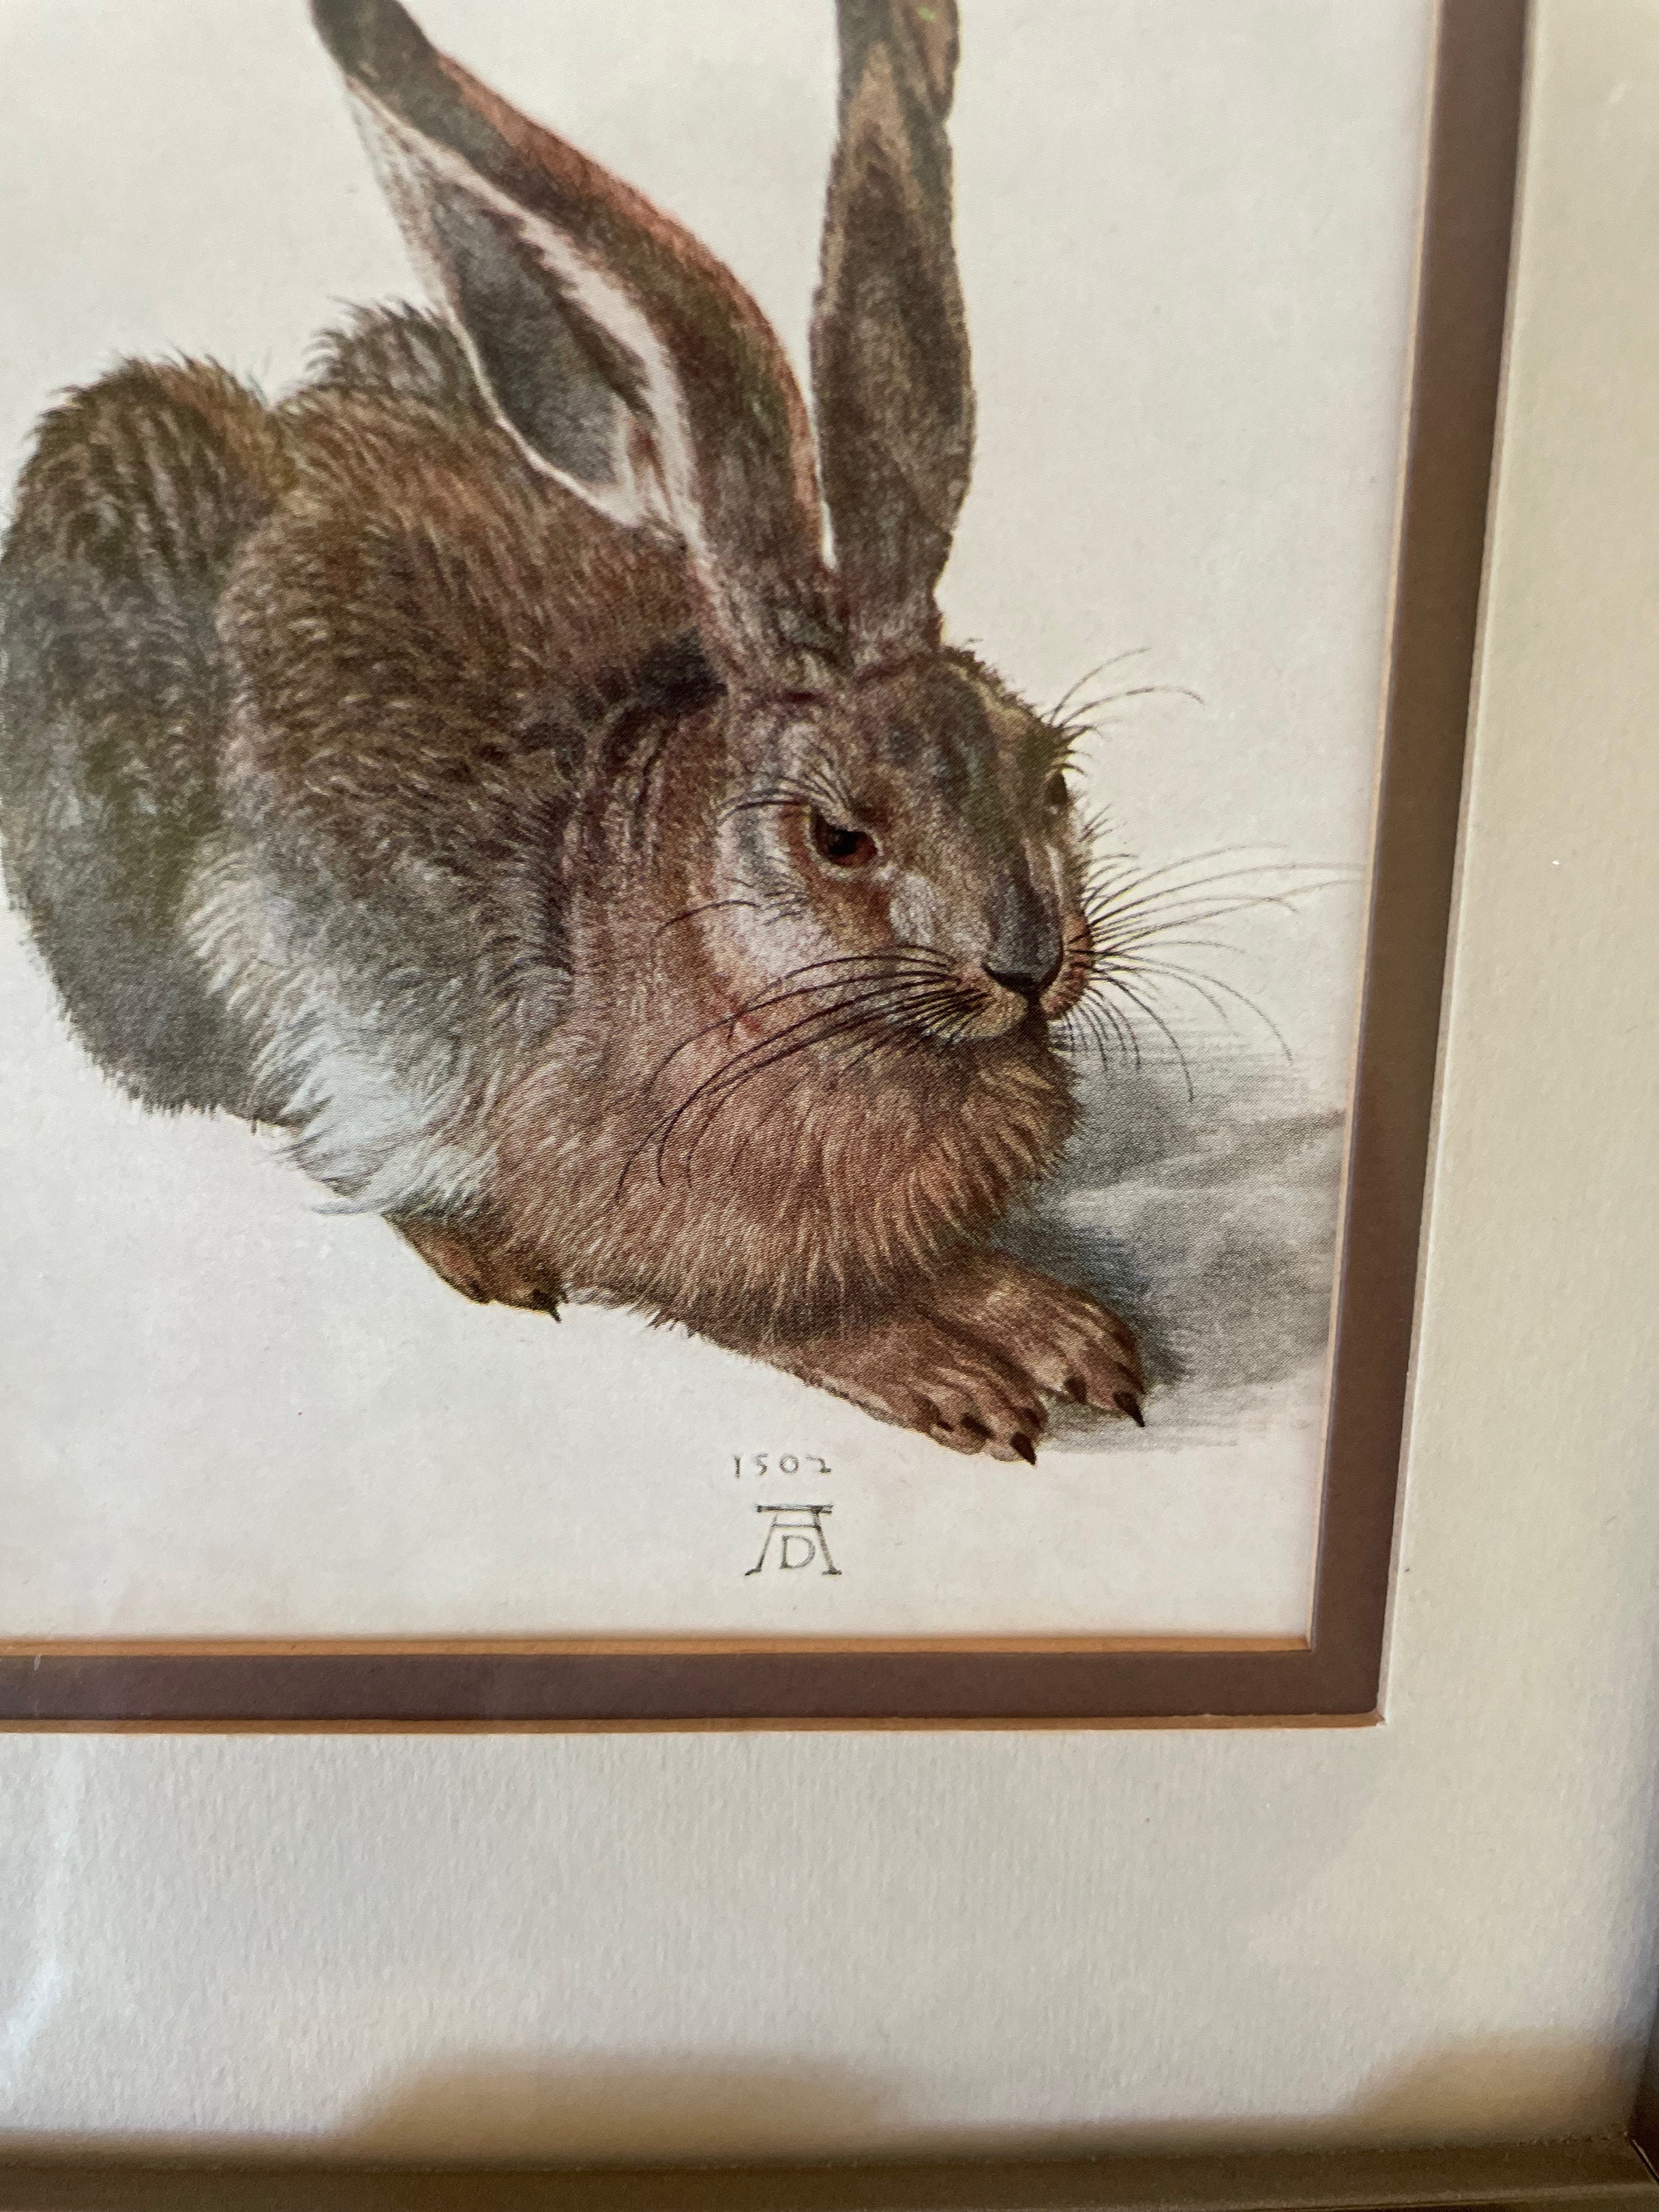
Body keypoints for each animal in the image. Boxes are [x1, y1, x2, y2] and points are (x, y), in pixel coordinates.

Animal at [0, 0, 1145, 1463]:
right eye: (838, 838)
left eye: (1049, 775)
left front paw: (1062, 1329)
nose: (1027, 966)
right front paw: (955, 1369)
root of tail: (306, 438)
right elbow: (792, 1311)